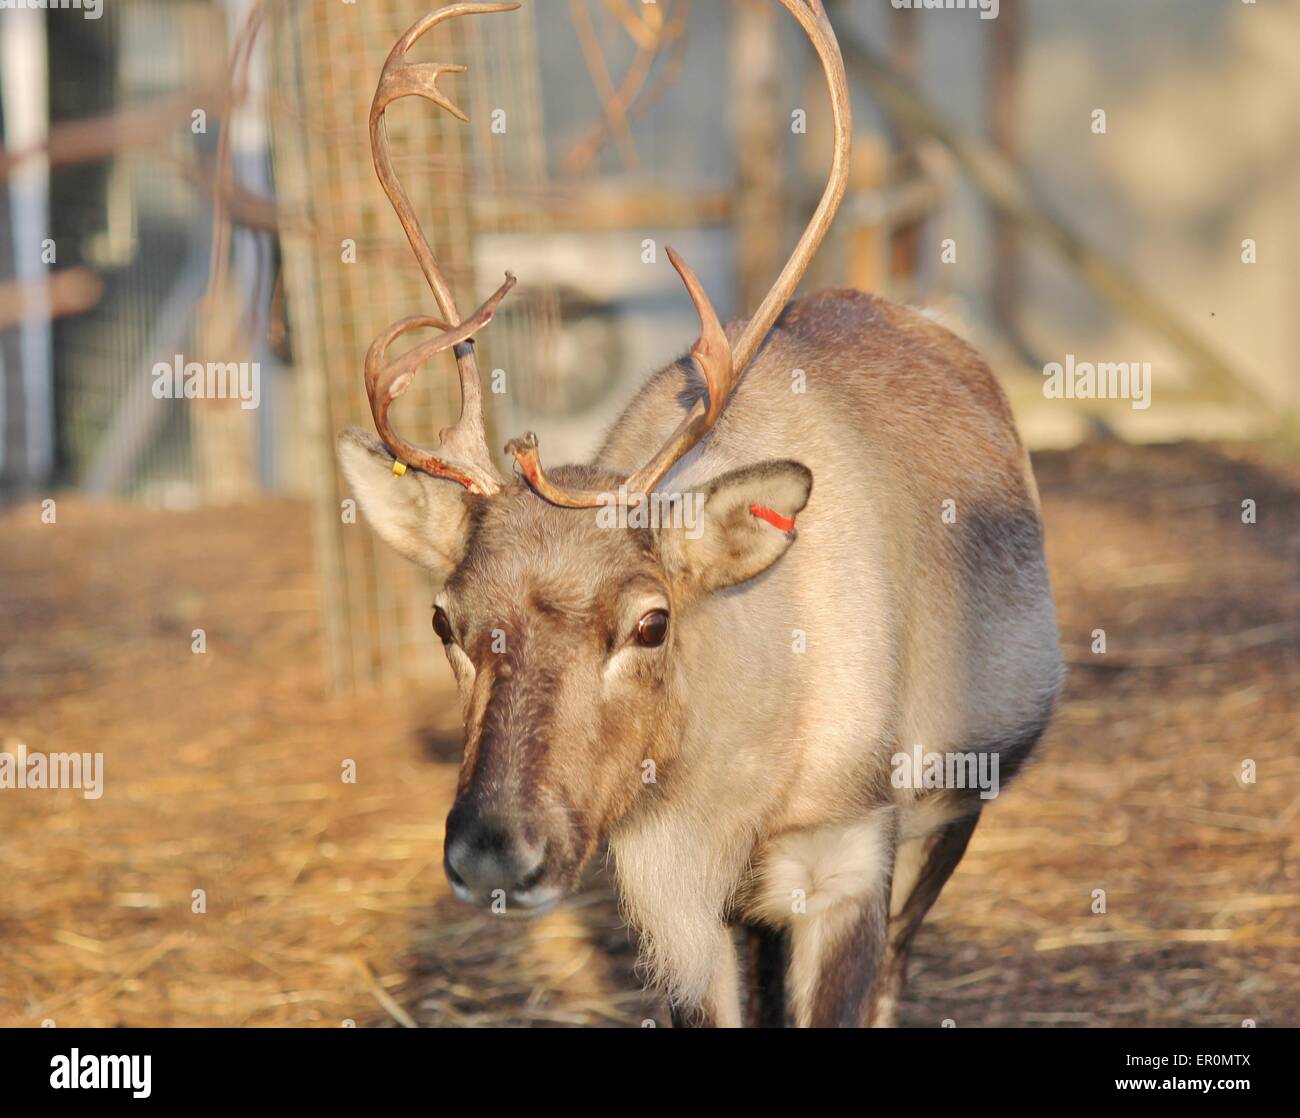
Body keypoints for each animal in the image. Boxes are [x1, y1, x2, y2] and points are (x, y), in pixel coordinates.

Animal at [336, 0, 1063, 1028]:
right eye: (444, 618)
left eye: (650, 622)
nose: (492, 851)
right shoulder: (670, 898)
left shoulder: (848, 856)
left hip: (957, 806)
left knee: (899, 966)